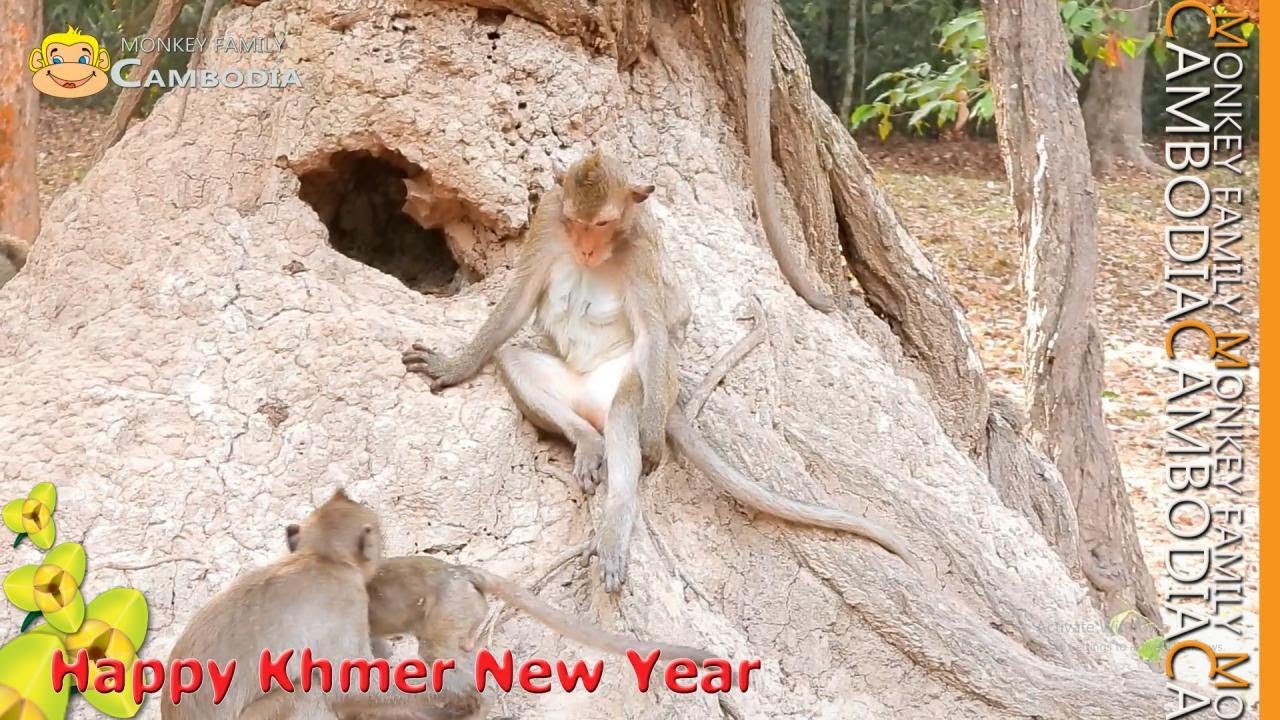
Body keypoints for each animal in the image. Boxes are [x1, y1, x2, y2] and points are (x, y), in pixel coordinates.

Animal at [402, 151, 914, 593]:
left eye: (603, 224)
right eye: (577, 223)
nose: (586, 249)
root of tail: (586, 396)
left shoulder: (643, 243)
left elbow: (653, 331)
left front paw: (647, 443)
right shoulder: (547, 218)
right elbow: (518, 299)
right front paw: (454, 365)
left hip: (635, 383)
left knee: (626, 409)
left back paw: (616, 518)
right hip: (570, 388)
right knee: (516, 362)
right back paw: (586, 442)